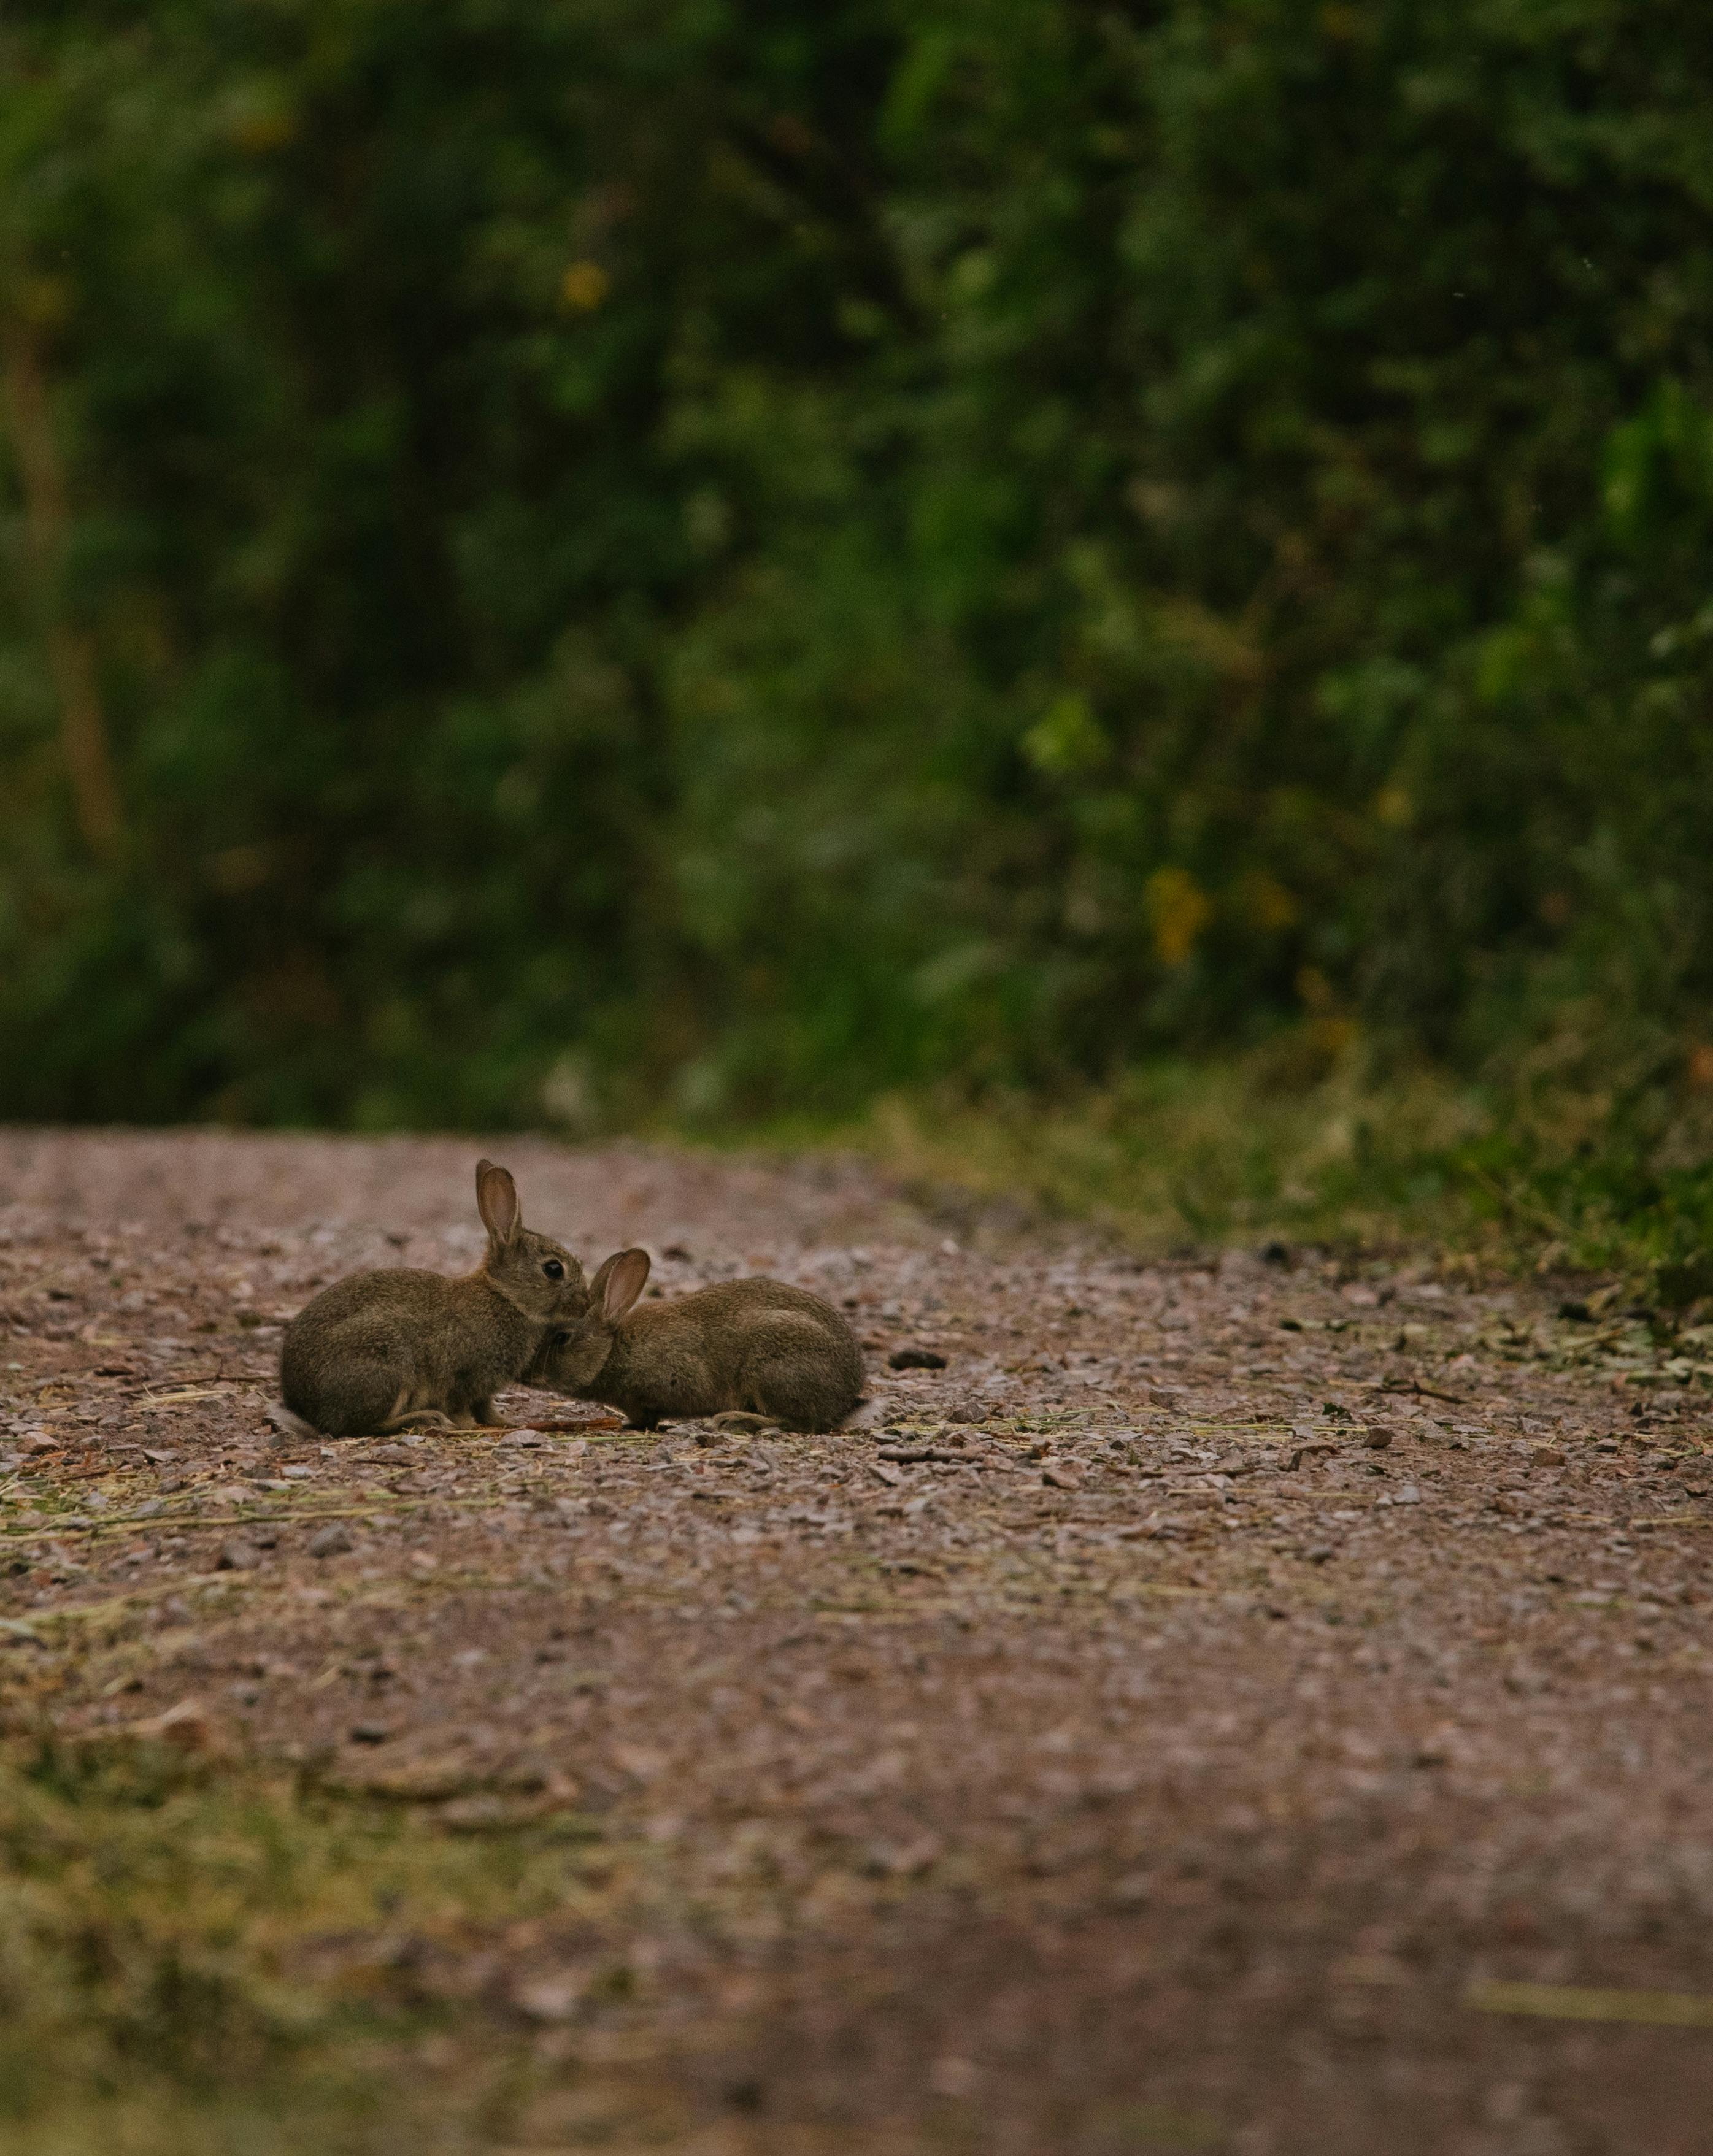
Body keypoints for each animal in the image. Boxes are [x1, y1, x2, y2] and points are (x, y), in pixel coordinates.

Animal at [278, 1159, 587, 1437]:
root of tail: (303, 1405)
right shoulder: (463, 1377)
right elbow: (461, 1407)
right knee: (362, 1426)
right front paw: (469, 1427)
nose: (584, 1305)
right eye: (554, 1269)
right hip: (387, 1362)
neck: (505, 1296)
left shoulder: (484, 1388)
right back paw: (427, 1418)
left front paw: (505, 1422)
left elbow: (487, 1407)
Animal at [525, 1248, 863, 1431]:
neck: (613, 1351)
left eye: (562, 1338)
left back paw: (731, 1421)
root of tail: (848, 1390)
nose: (528, 1374)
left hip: (773, 1368)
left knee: (796, 1421)